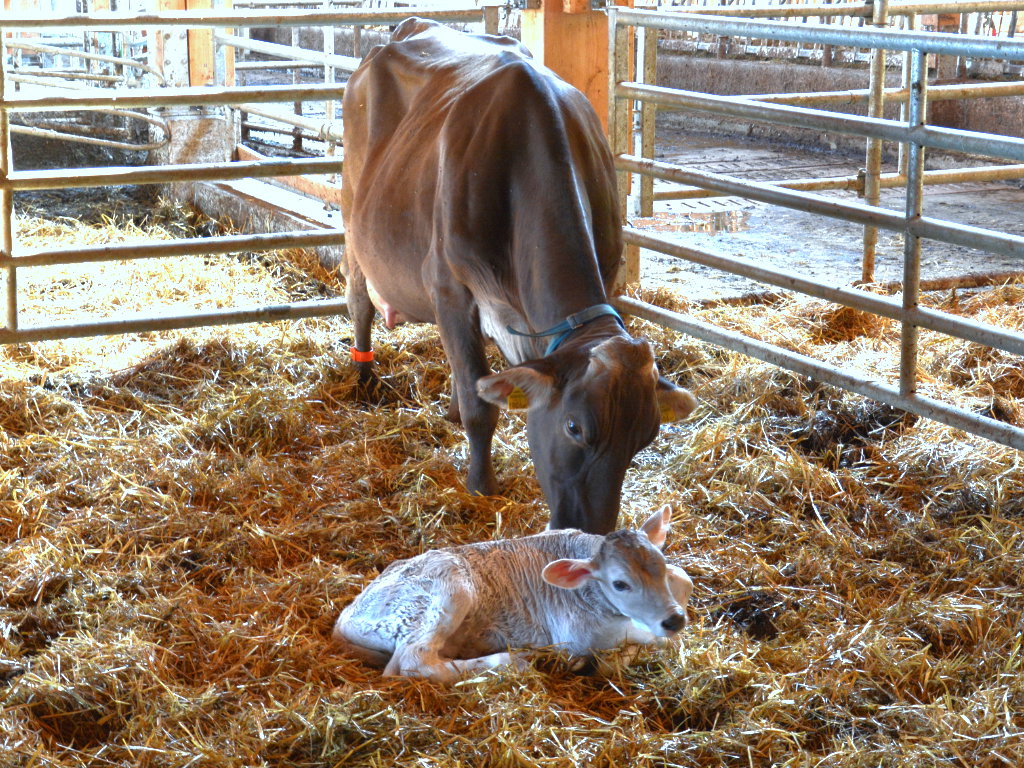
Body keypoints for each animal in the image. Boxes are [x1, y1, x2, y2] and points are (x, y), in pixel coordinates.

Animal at [333, 504, 693, 683]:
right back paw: (511, 661)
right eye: (620, 584)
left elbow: (683, 579)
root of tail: (345, 617)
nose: (673, 619)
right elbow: (655, 639)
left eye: (660, 563)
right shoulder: (578, 635)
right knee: (413, 661)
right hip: (446, 591)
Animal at [341, 18, 696, 534]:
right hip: (352, 214)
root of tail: (410, 26)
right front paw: (480, 485)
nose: (588, 531)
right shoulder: (449, 286)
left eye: (646, 437)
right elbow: (479, 402)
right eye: (574, 427)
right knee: (360, 300)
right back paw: (364, 374)